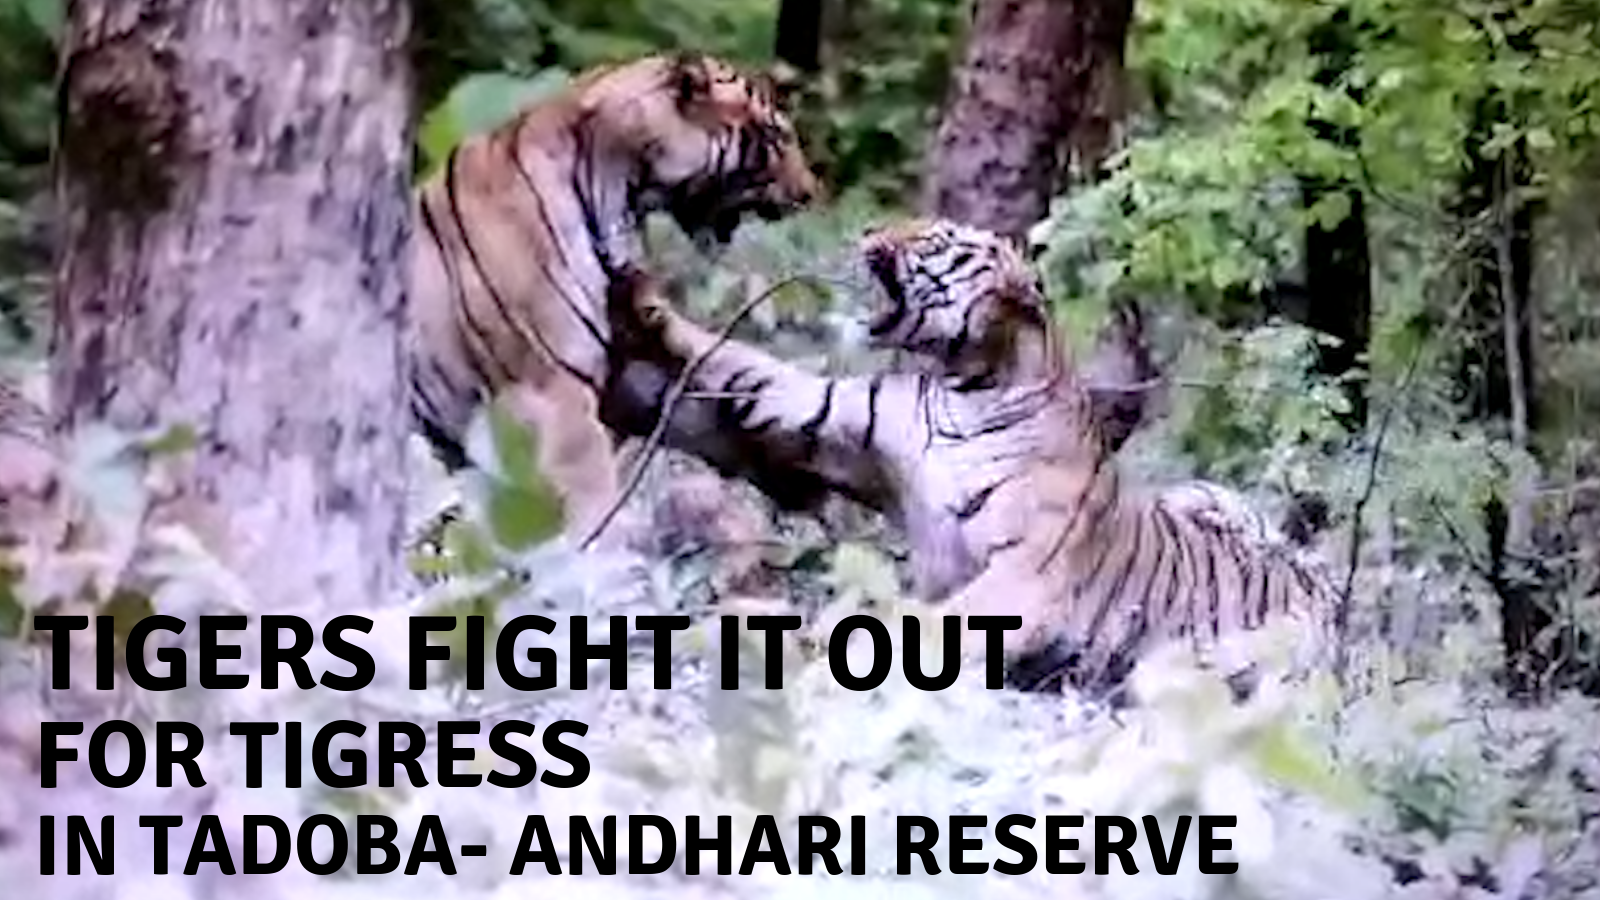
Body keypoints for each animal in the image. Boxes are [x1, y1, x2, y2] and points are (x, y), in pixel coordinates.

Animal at [409, 52, 820, 543]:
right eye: (778, 135)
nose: (812, 193)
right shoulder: (553, 389)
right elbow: (590, 502)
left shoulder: (628, 364)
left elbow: (721, 367)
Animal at [611, 217, 1336, 696]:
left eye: (932, 238)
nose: (868, 229)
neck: (966, 386)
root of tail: (1319, 582)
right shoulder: (841, 417)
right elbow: (744, 364)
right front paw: (644, 299)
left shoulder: (1025, 577)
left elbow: (924, 625)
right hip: (1199, 494)